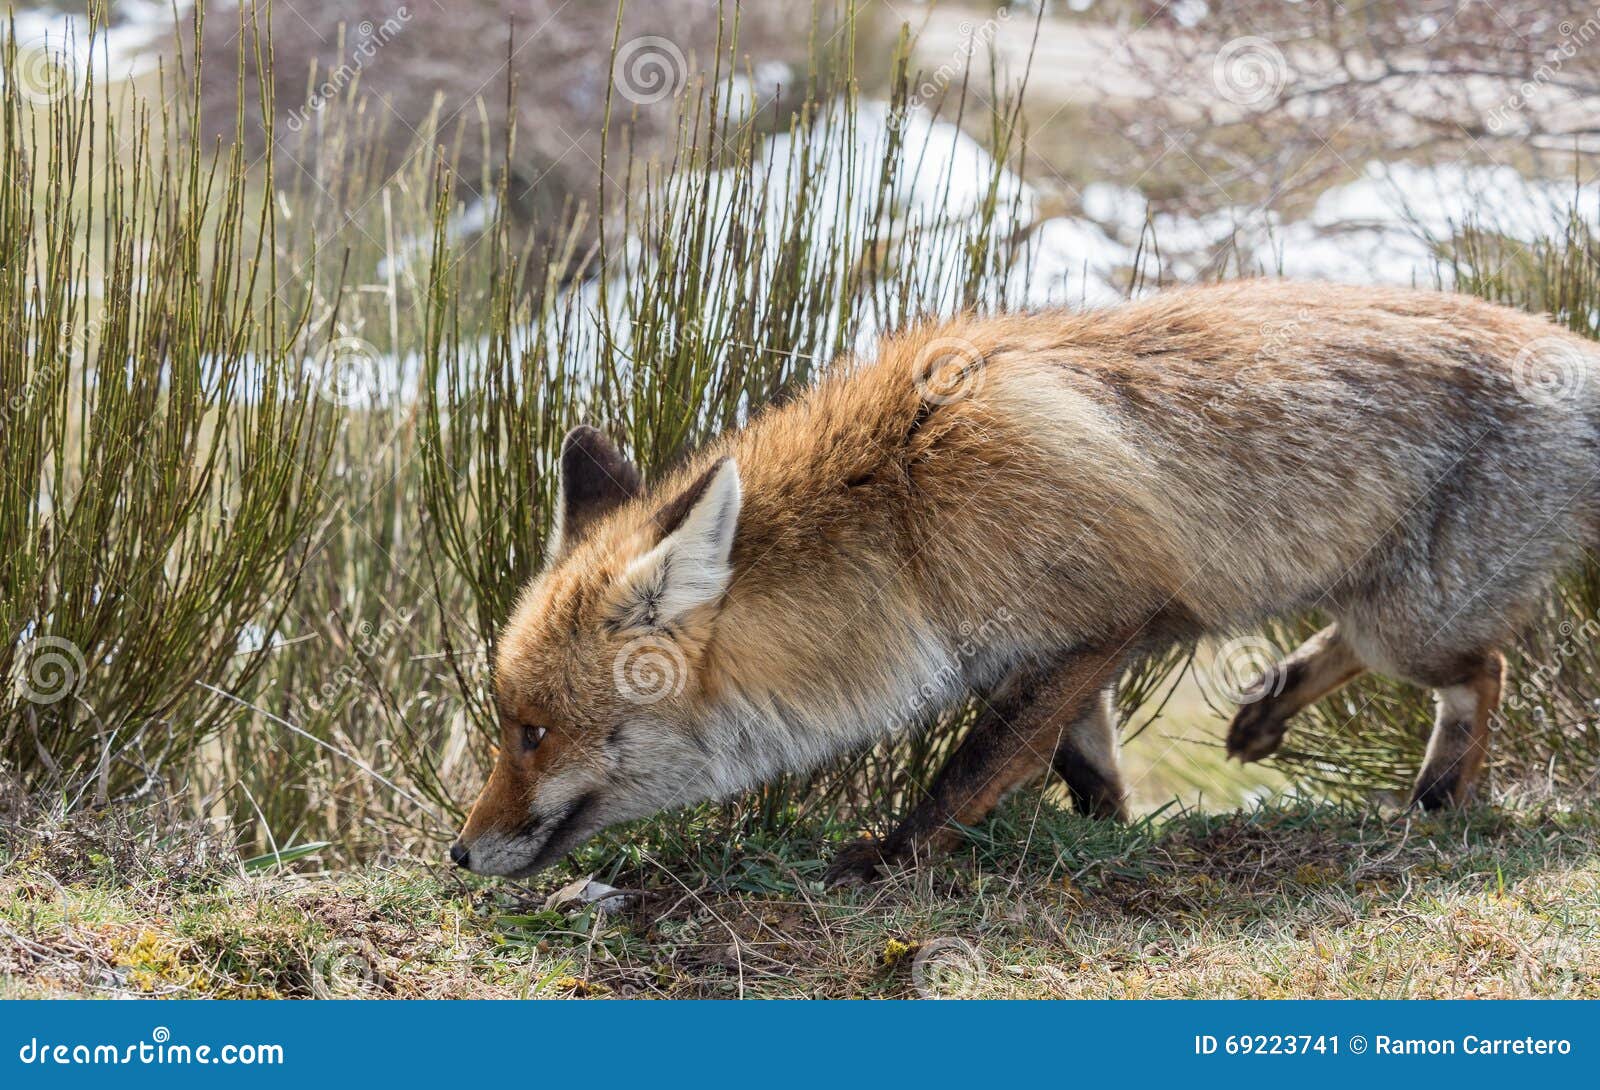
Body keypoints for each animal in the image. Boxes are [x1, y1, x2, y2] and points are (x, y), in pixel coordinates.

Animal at [450, 279, 1600, 885]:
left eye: (531, 733)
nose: (460, 855)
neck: (904, 516)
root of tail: (1570, 346)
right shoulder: (1052, 653)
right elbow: (1081, 760)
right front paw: (1106, 833)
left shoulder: (1099, 619)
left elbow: (974, 766)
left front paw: (888, 859)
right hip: (1384, 602)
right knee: (1361, 647)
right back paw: (1268, 712)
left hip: (1418, 618)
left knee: (1481, 669)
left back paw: (1439, 796)